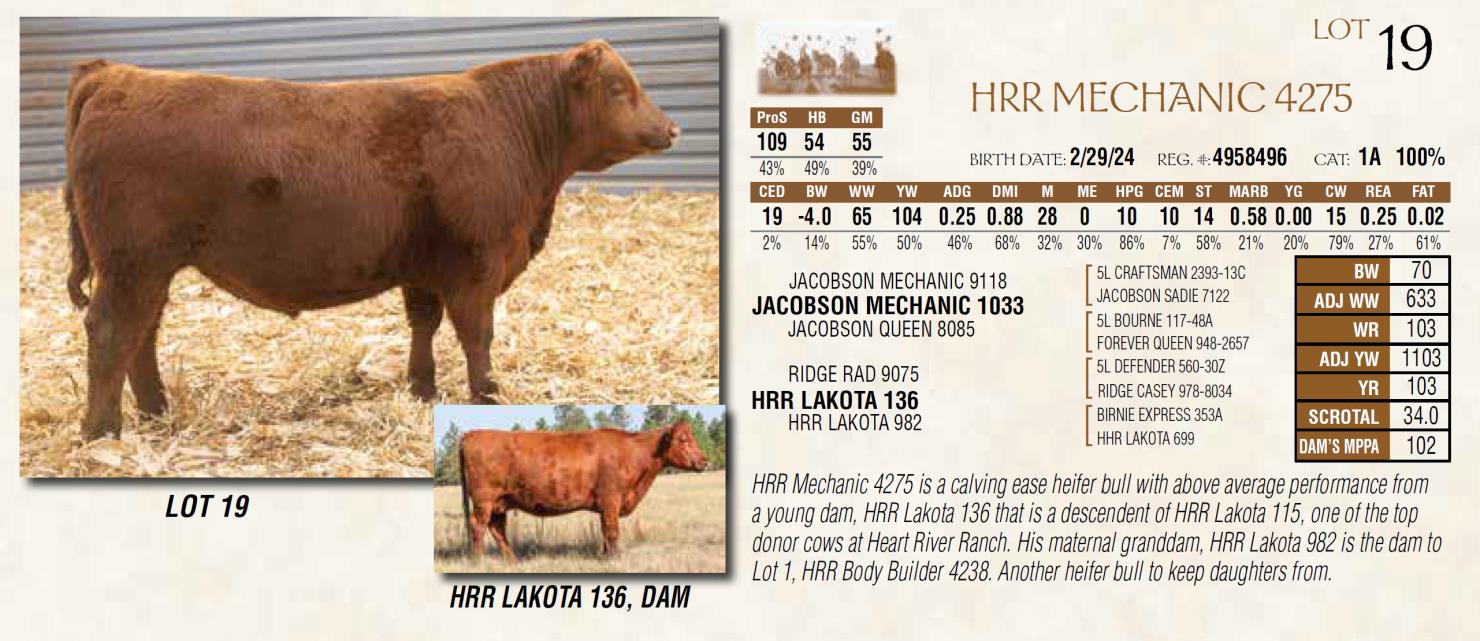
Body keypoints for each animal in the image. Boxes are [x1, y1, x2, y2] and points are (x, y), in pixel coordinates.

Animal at [62, 40, 680, 440]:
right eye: (618, 87)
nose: (671, 128)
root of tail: (114, 75)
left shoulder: (426, 266)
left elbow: (424, 324)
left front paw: (422, 389)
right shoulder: (477, 263)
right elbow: (477, 335)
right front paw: (486, 396)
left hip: (148, 268)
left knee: (142, 335)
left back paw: (156, 413)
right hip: (132, 263)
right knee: (112, 333)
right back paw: (102, 432)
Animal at [458, 420, 708, 560]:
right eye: (683, 440)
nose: (704, 461)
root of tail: (471, 434)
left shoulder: (607, 506)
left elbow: (605, 532)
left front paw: (605, 556)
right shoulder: (611, 501)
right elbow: (612, 532)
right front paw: (614, 559)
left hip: (500, 502)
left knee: (497, 529)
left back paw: (512, 561)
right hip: (484, 500)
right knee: (478, 526)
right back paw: (477, 561)